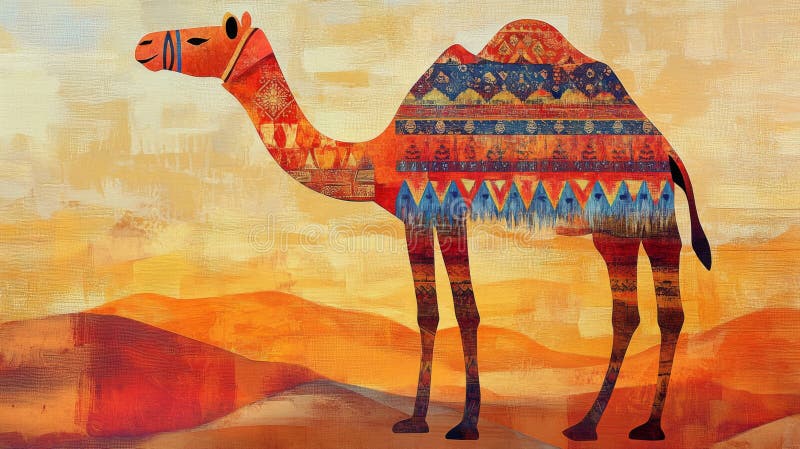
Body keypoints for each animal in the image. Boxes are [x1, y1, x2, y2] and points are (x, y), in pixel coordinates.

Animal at [135, 12, 712, 441]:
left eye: (202, 36)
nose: (143, 45)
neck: (377, 154)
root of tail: (668, 151)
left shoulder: (444, 208)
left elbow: (465, 312)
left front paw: (465, 425)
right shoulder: (418, 217)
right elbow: (429, 313)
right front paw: (416, 420)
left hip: (645, 210)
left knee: (665, 311)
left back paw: (647, 427)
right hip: (617, 225)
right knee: (631, 313)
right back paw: (590, 425)